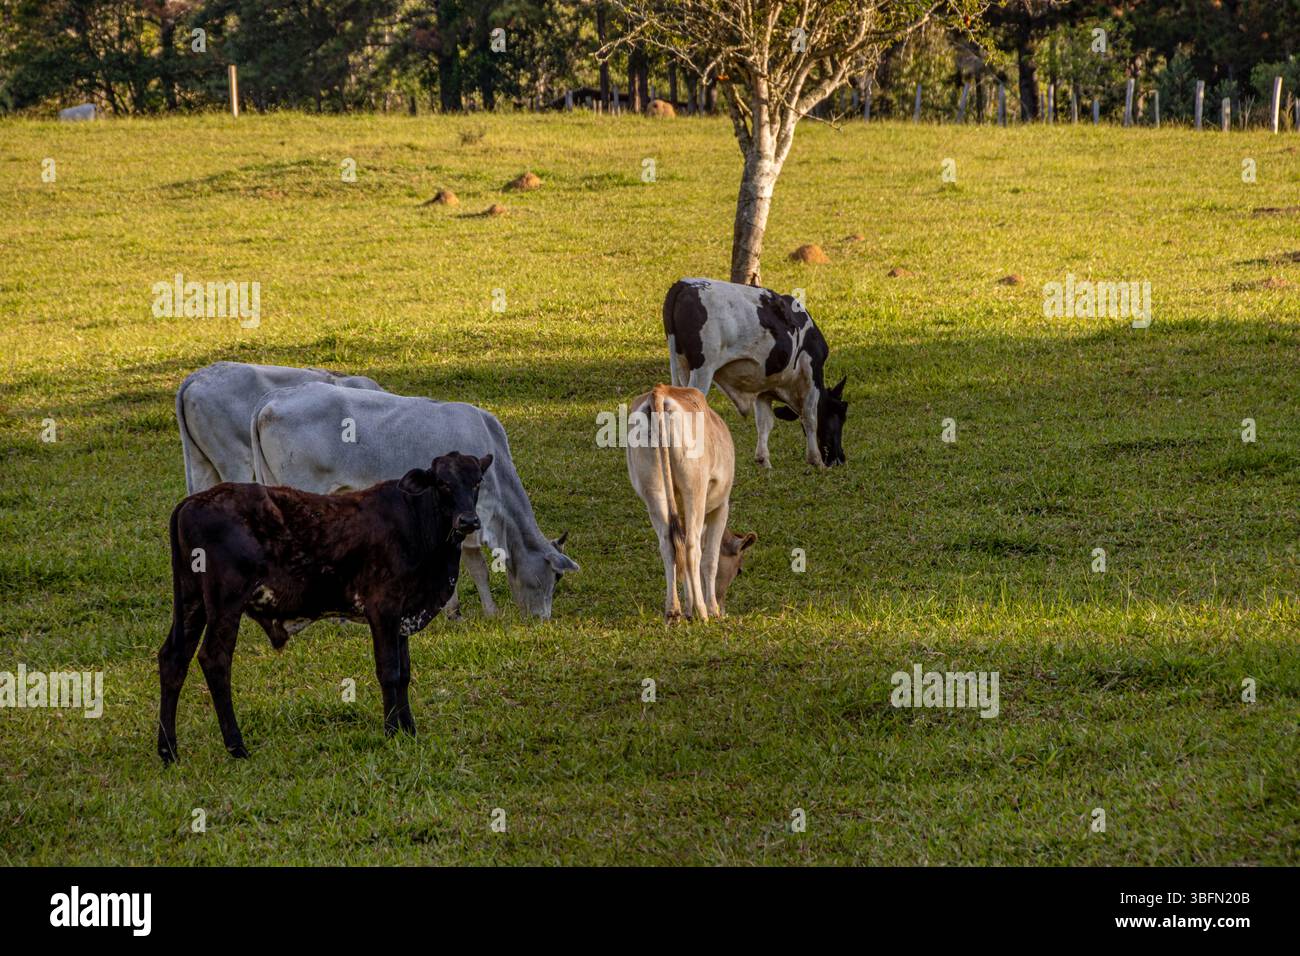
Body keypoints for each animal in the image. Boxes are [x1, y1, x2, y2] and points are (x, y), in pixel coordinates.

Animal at [157, 452, 492, 764]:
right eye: (443, 483)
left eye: (477, 481)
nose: (468, 521)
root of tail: (192, 501)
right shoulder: (383, 608)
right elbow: (390, 671)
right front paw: (391, 732)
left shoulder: (404, 615)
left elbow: (405, 671)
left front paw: (409, 729)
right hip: (225, 602)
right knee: (215, 659)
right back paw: (236, 746)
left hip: (192, 601)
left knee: (173, 658)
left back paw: (168, 751)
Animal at [250, 382, 579, 620]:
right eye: (557, 576)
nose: (542, 619)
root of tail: (275, 396)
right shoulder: (469, 518)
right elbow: (475, 568)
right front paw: (477, 612)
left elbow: (472, 567)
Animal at [626, 384, 756, 621]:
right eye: (739, 570)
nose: (723, 607)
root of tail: (659, 391)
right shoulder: (721, 506)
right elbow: (710, 558)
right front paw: (711, 609)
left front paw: (689, 608)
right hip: (695, 487)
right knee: (692, 548)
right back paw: (704, 612)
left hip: (652, 489)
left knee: (669, 544)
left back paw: (673, 611)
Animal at [663, 277, 848, 469]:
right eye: (841, 413)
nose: (840, 458)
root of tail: (683, 284)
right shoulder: (812, 372)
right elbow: (810, 416)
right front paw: (816, 460)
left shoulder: (764, 389)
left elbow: (764, 422)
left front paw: (763, 460)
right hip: (703, 370)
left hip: (680, 367)